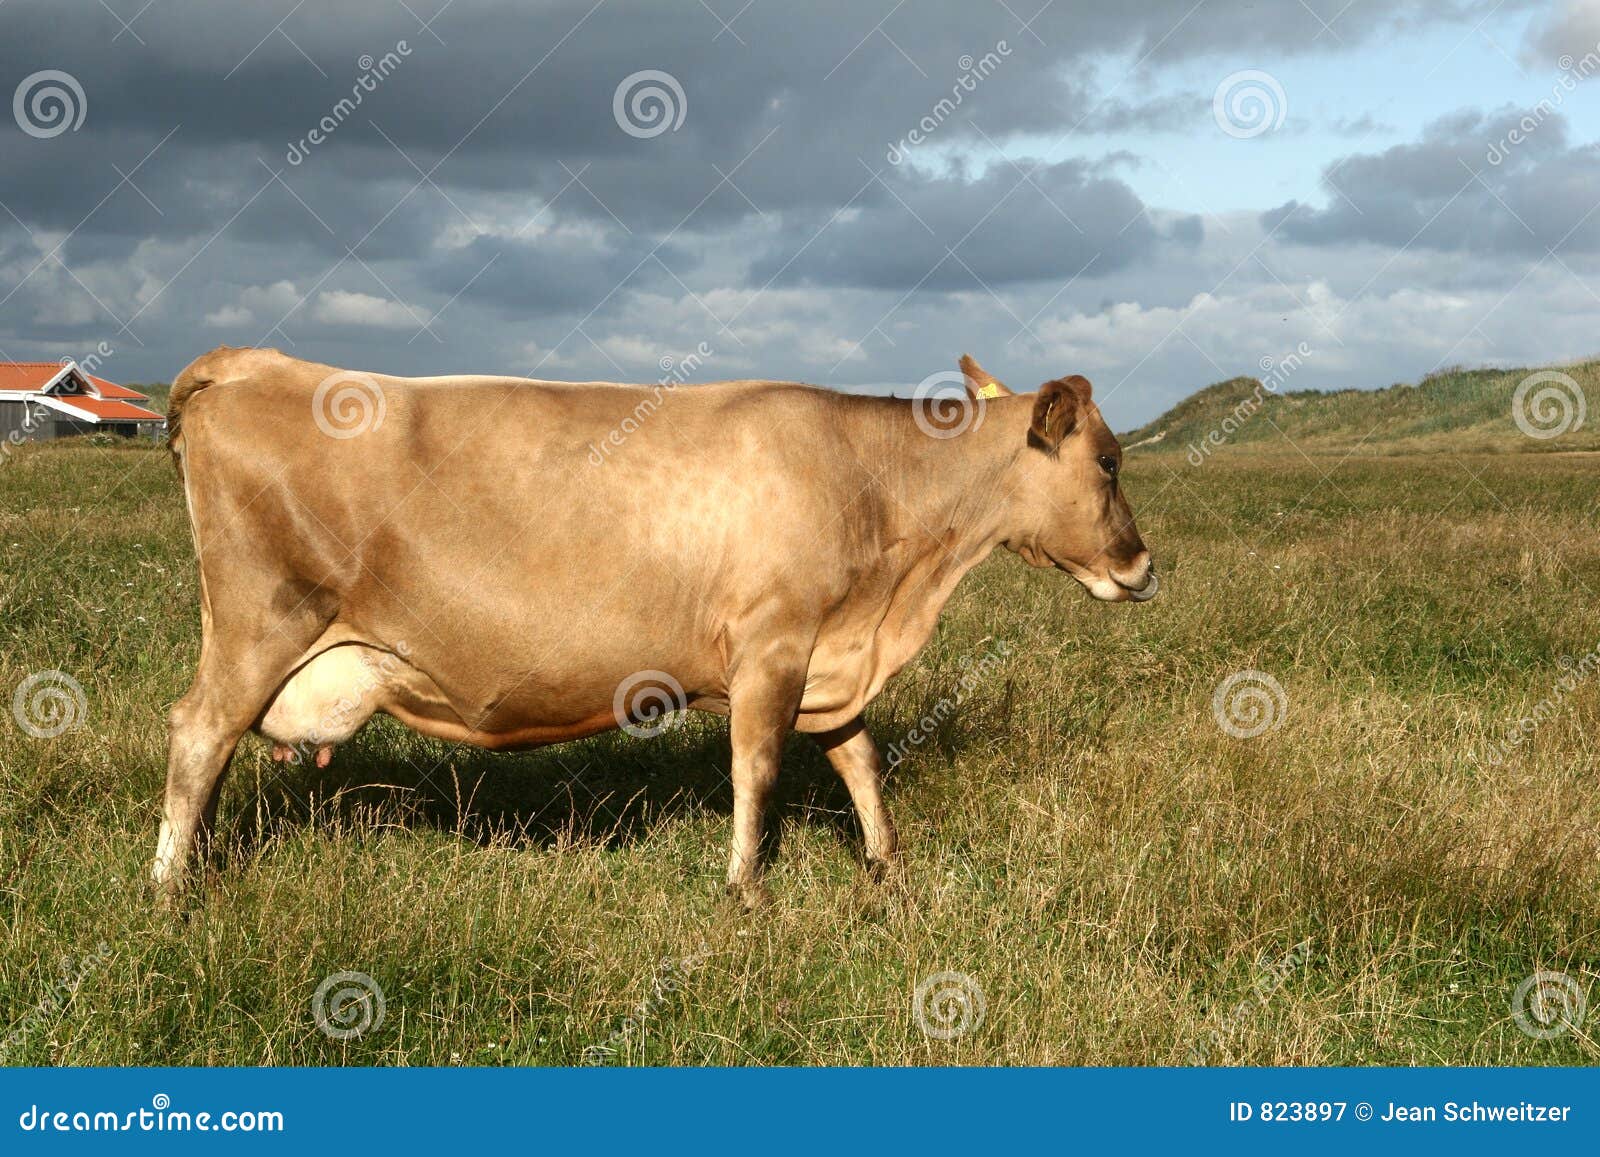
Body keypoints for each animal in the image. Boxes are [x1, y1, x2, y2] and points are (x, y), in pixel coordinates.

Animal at [152, 347, 1156, 907]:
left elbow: (860, 760)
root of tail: (253, 361)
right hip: (261, 623)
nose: (1144, 566)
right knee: (198, 734)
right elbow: (758, 769)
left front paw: (887, 868)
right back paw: (169, 890)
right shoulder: (773, 645)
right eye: (1110, 461)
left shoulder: (827, 656)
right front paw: (747, 892)